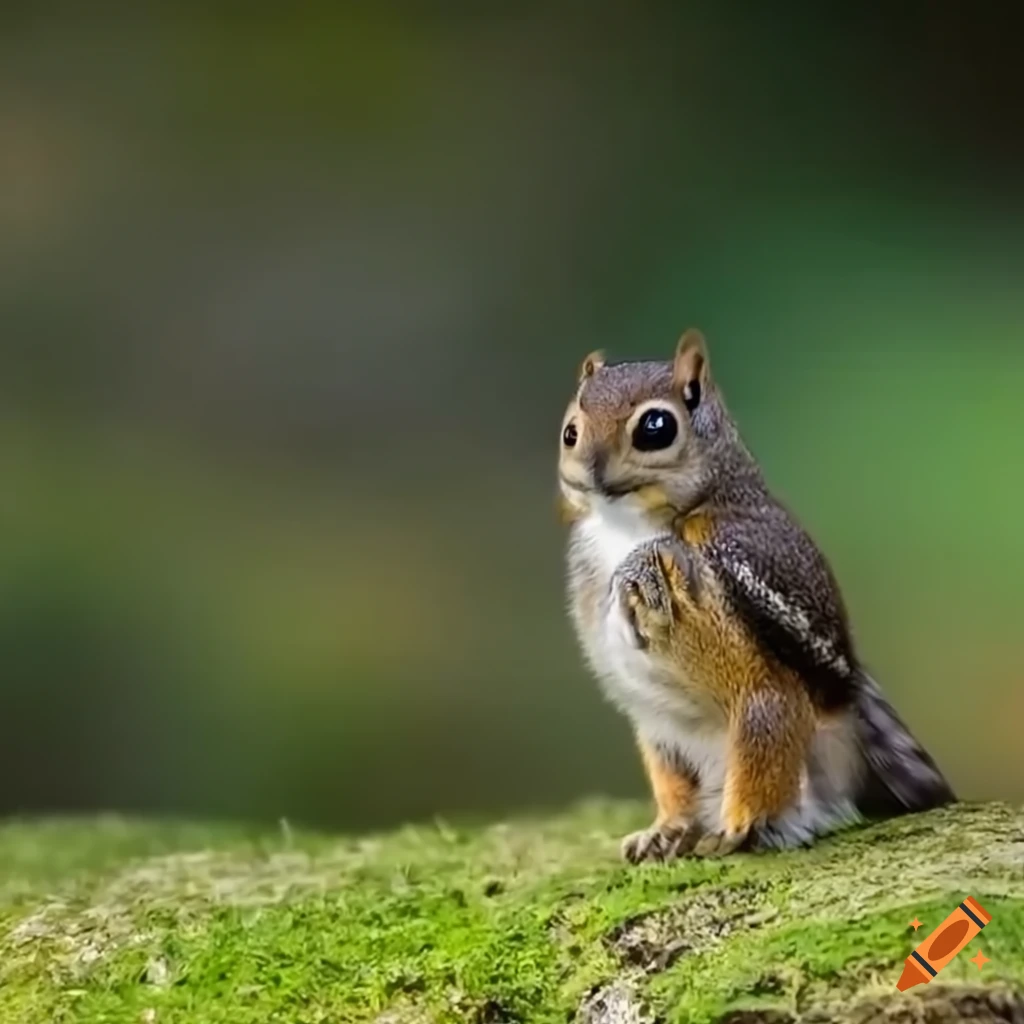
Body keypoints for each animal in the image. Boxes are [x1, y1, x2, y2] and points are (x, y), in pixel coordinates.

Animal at [558, 329, 955, 862]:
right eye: (570, 432)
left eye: (656, 427)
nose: (591, 474)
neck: (631, 526)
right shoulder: (655, 721)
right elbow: (672, 786)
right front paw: (665, 830)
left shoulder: (758, 668)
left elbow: (763, 742)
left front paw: (739, 829)